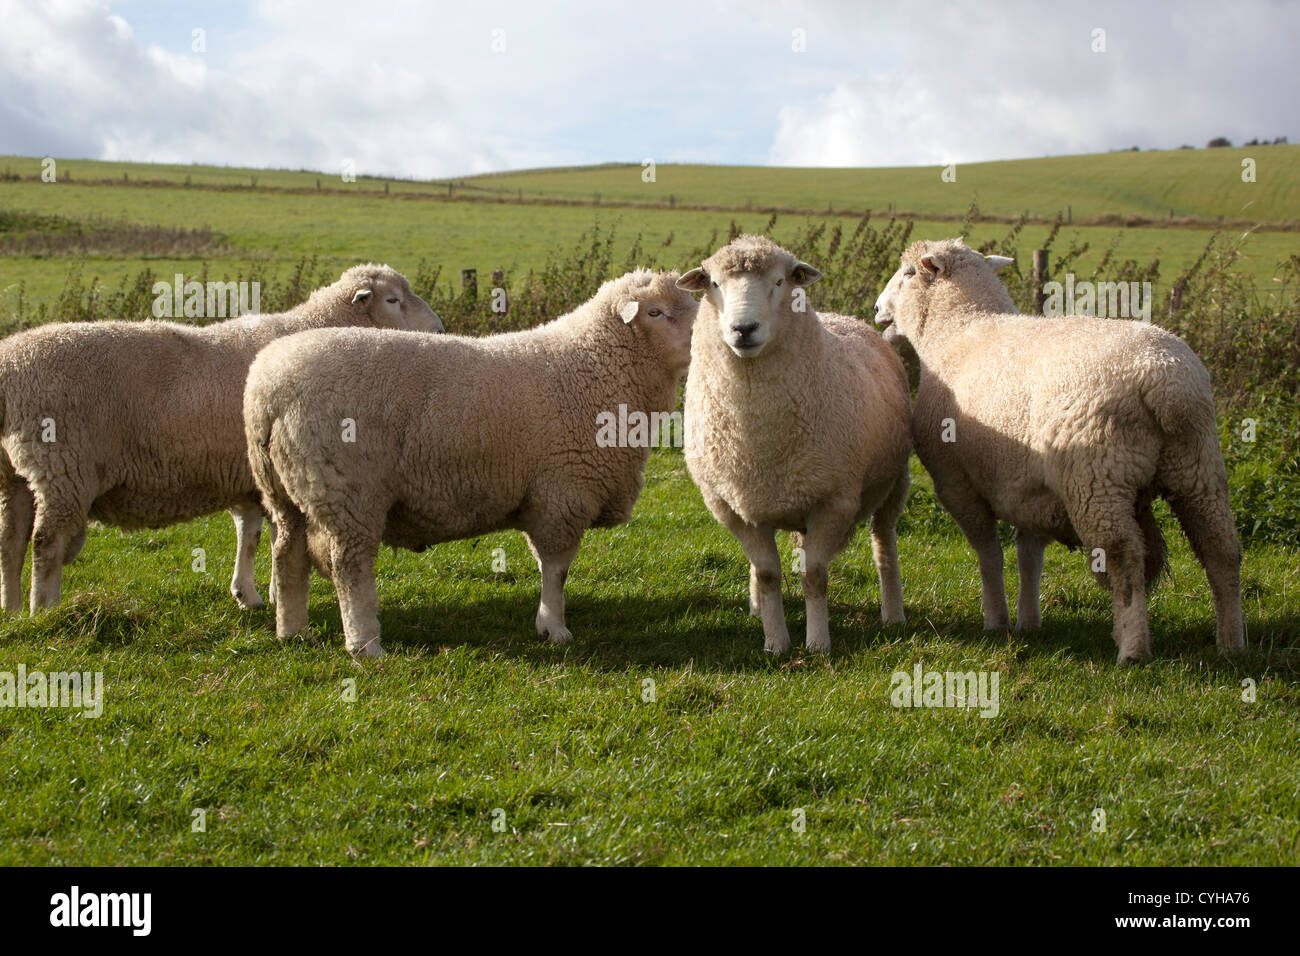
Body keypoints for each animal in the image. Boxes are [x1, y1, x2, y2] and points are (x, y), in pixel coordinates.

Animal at [0, 264, 442, 614]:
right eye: (393, 299)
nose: (439, 329)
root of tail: (9, 365)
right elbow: (272, 534)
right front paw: (275, 594)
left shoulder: (249, 474)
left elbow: (251, 533)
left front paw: (249, 592)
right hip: (62, 467)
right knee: (45, 542)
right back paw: (45, 610)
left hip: (15, 475)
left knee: (11, 540)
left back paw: (14, 611)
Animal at [243, 268, 696, 658]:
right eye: (655, 312)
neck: (595, 364)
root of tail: (268, 393)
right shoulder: (563, 494)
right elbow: (556, 570)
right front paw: (554, 628)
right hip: (348, 492)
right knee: (348, 567)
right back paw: (365, 645)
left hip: (282, 492)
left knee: (287, 554)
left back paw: (292, 631)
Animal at [677, 235, 912, 654]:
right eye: (714, 284)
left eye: (779, 281)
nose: (743, 329)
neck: (756, 434)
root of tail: (846, 317)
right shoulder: (734, 508)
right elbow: (768, 574)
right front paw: (775, 643)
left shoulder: (834, 500)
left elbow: (814, 575)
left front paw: (817, 643)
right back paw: (757, 608)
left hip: (894, 481)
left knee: (884, 541)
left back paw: (893, 613)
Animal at [874, 237, 1244, 663]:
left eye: (908, 273)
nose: (877, 308)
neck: (960, 330)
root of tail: (1162, 377)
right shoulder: (1031, 487)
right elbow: (1028, 554)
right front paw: (1028, 621)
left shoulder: (957, 484)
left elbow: (989, 554)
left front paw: (996, 620)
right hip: (1198, 466)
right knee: (1221, 549)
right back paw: (1232, 642)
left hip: (1095, 478)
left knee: (1124, 556)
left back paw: (1132, 648)